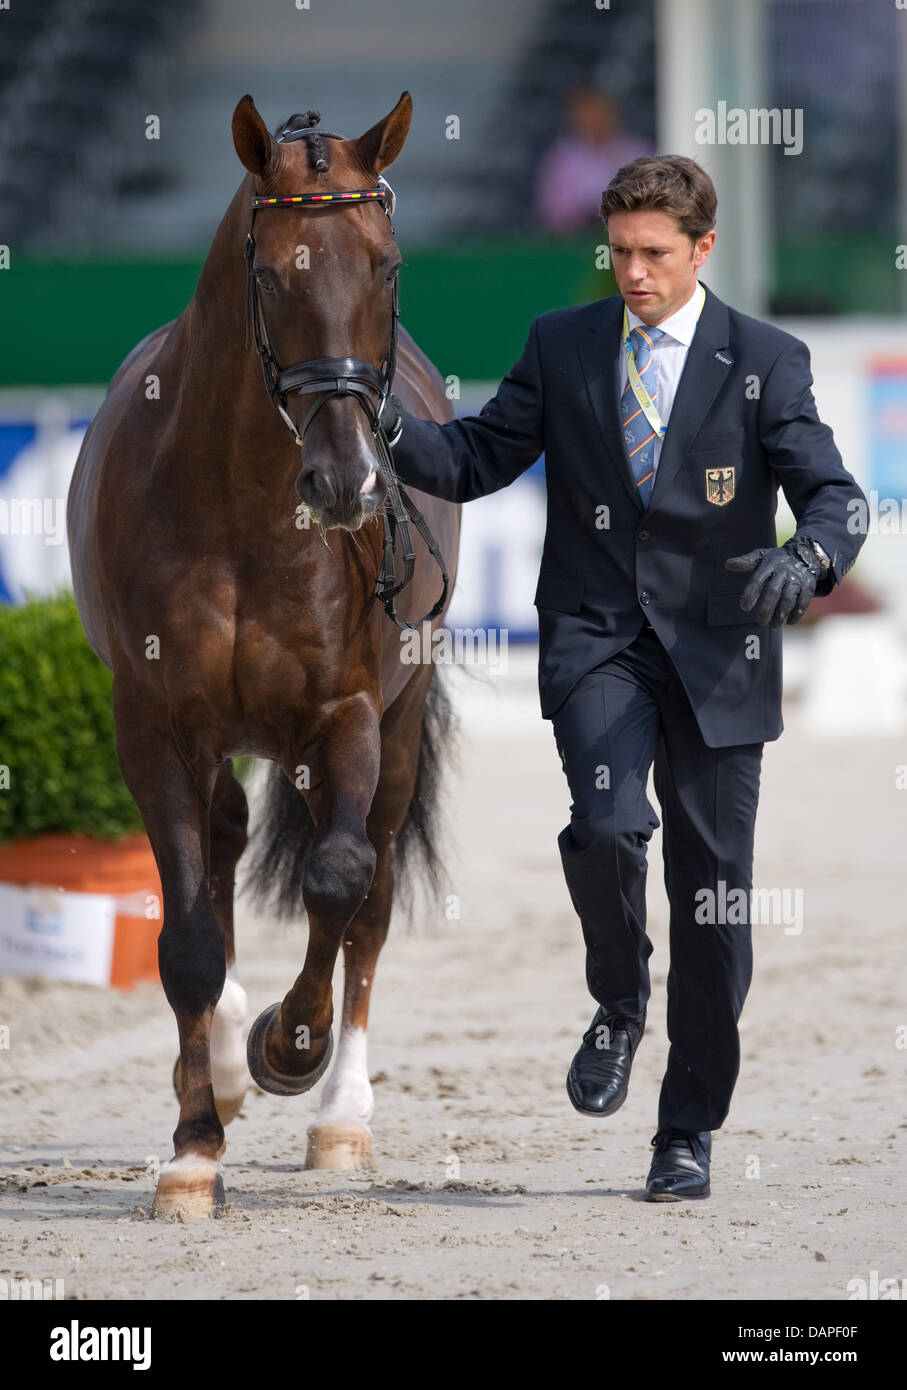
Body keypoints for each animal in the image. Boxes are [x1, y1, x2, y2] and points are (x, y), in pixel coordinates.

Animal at [66, 91, 460, 1218]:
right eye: (273, 271)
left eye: (386, 265)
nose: (347, 481)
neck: (241, 504)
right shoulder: (157, 727)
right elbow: (189, 935)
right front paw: (196, 1147)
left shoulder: (350, 715)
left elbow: (338, 879)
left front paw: (290, 1047)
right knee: (224, 848)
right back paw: (216, 1072)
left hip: (397, 730)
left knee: (368, 896)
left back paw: (337, 1112)